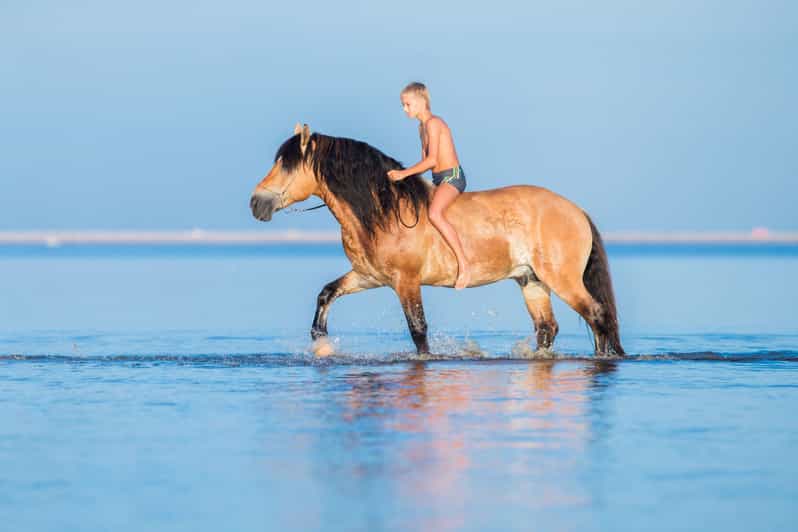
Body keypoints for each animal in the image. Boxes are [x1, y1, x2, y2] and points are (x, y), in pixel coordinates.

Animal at [250, 124, 624, 357]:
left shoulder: (405, 281)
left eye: (286, 165)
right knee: (549, 328)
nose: (256, 203)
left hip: (561, 280)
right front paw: (321, 343)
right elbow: (326, 294)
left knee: (597, 315)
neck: (383, 211)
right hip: (531, 281)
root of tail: (575, 210)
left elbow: (418, 329)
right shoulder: (369, 277)